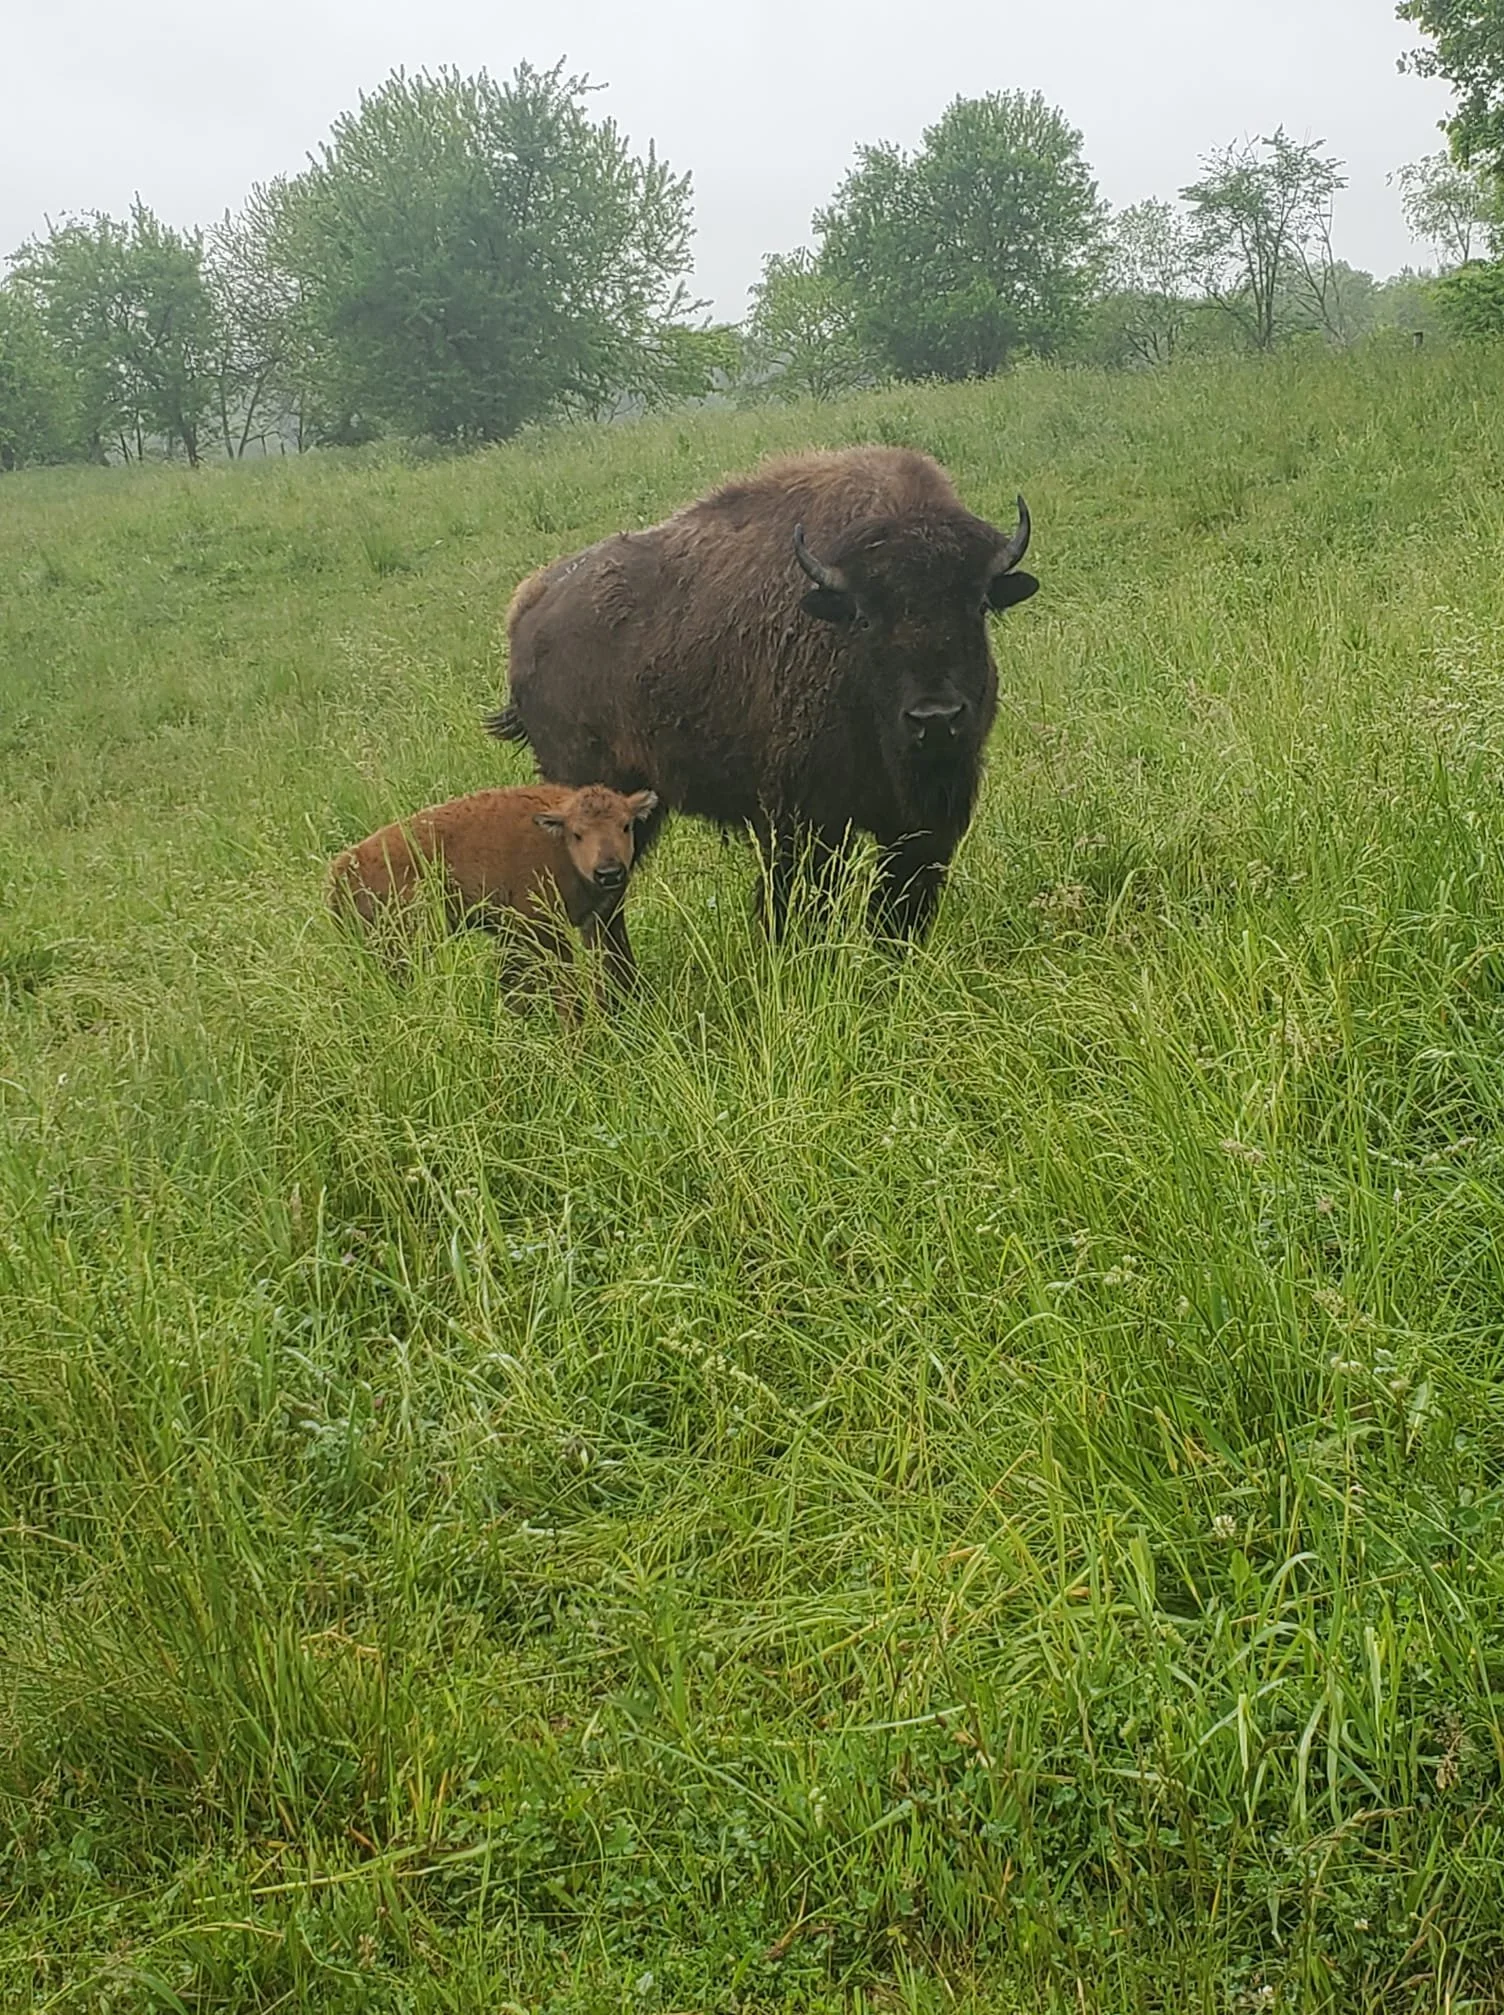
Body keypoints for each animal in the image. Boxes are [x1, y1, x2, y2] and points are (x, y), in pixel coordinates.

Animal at [485, 446, 1037, 949]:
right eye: (863, 617)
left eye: (979, 605)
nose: (936, 718)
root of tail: (530, 609)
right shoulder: (803, 825)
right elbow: (799, 904)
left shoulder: (926, 826)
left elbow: (896, 913)